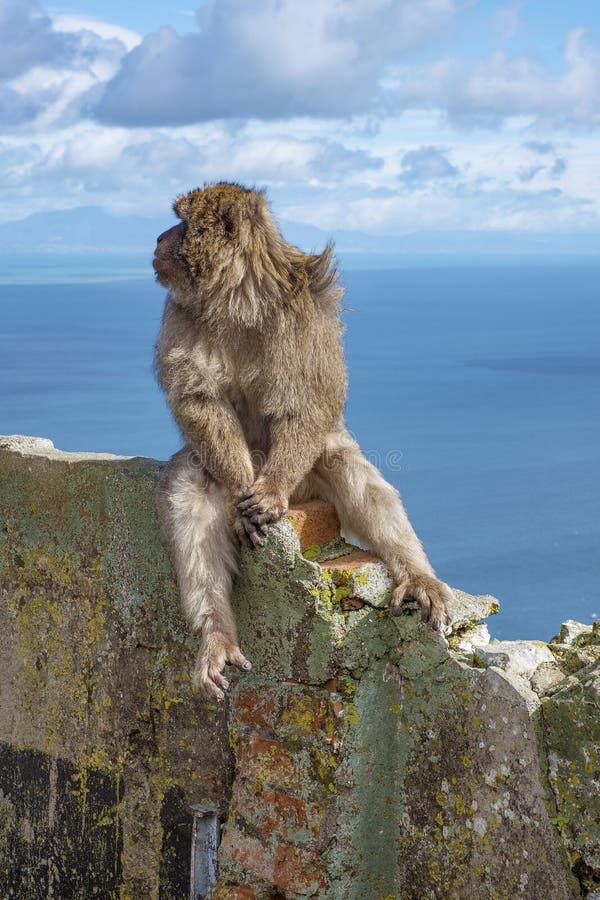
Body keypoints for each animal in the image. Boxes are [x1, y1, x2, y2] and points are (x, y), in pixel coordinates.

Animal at [153, 182, 453, 701]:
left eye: (181, 222)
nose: (158, 238)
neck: (238, 295)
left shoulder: (303, 312)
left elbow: (309, 404)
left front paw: (267, 497)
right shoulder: (182, 311)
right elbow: (199, 401)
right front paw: (241, 498)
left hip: (306, 479)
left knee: (345, 465)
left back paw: (417, 577)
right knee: (194, 481)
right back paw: (217, 633)